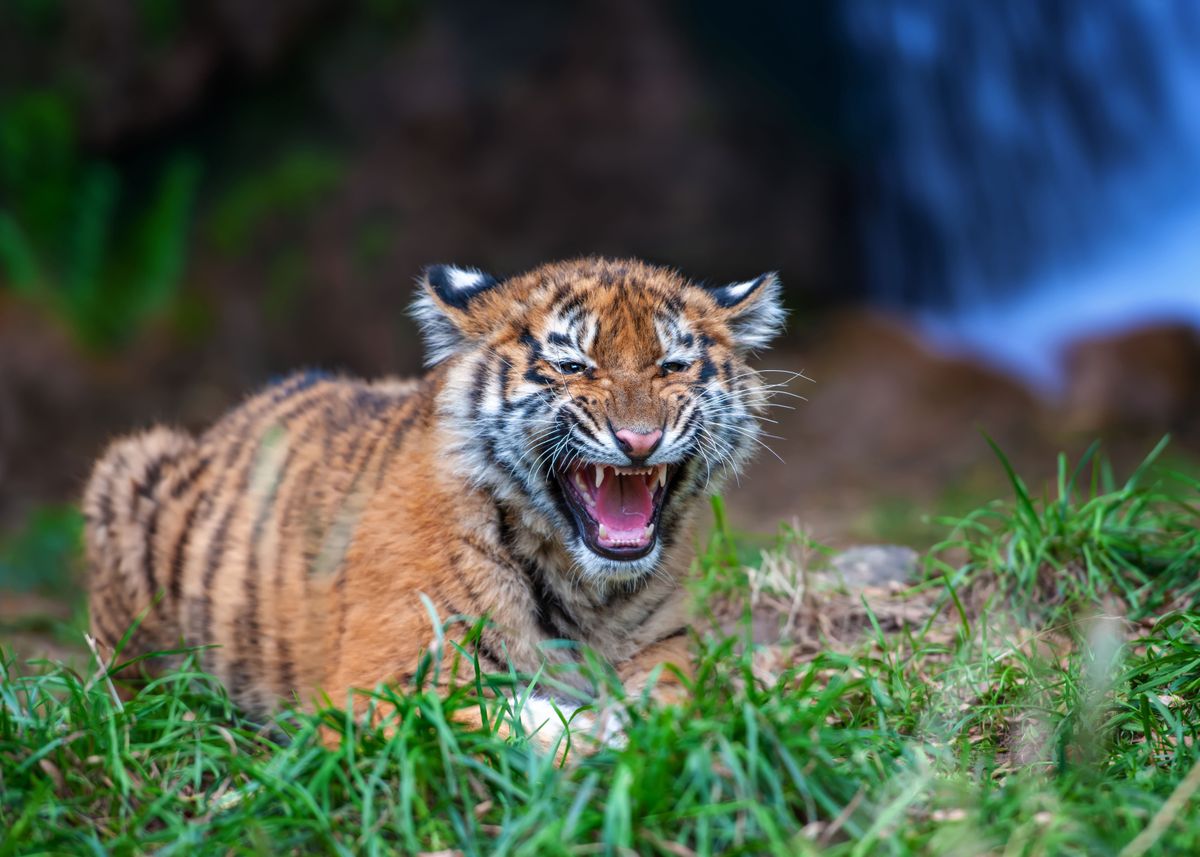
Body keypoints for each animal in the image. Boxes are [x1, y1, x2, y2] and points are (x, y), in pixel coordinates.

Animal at [84, 256, 786, 744]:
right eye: (572, 366)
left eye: (673, 365)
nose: (639, 441)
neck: (585, 586)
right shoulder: (379, 682)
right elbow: (501, 725)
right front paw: (590, 735)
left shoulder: (668, 645)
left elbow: (672, 695)